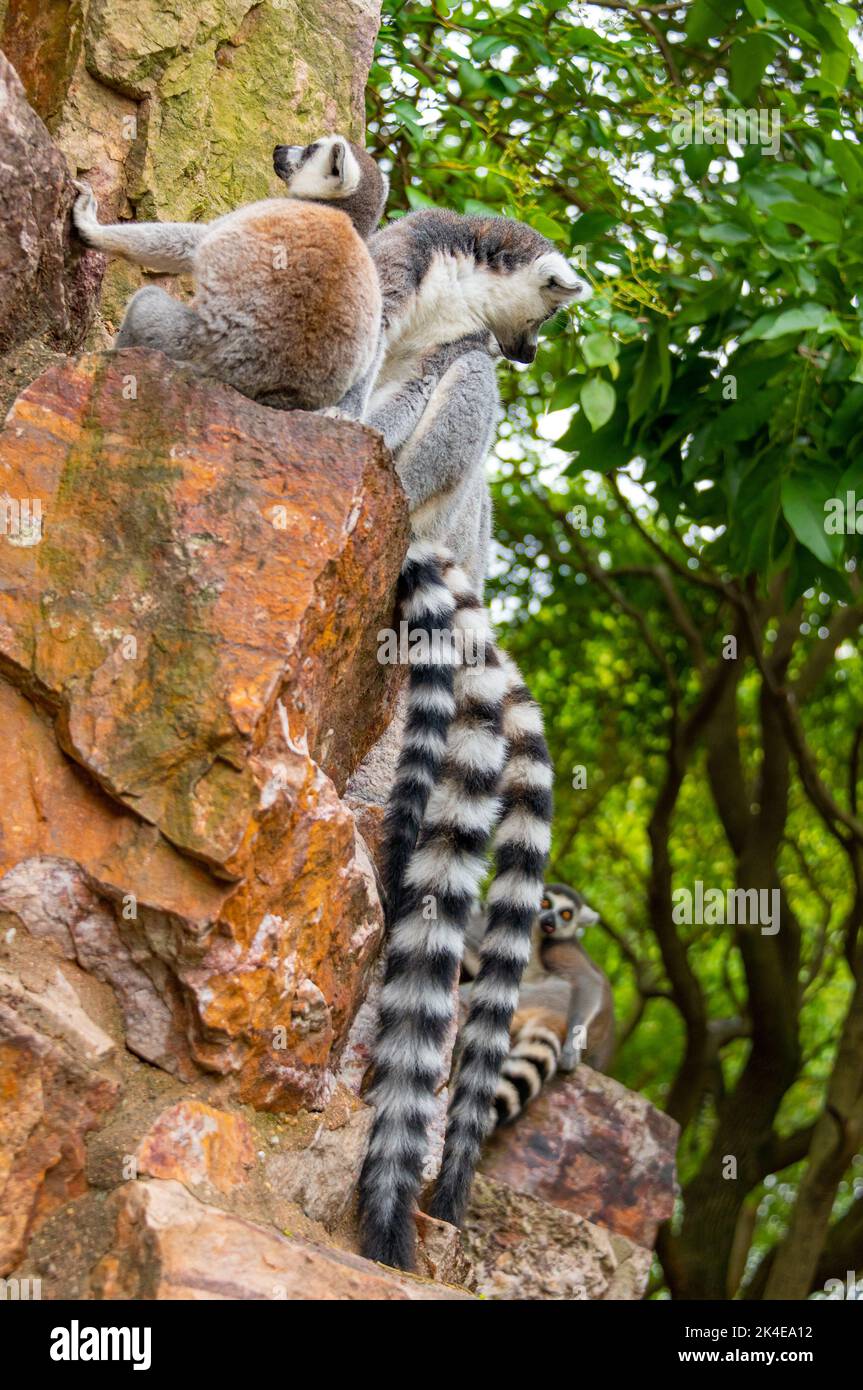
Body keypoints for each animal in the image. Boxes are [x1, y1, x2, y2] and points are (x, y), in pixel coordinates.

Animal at [71, 135, 388, 416]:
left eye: (310, 150)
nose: (279, 147)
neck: (345, 215)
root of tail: (275, 393)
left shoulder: (266, 209)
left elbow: (191, 244)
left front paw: (93, 229)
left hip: (194, 346)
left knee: (146, 307)